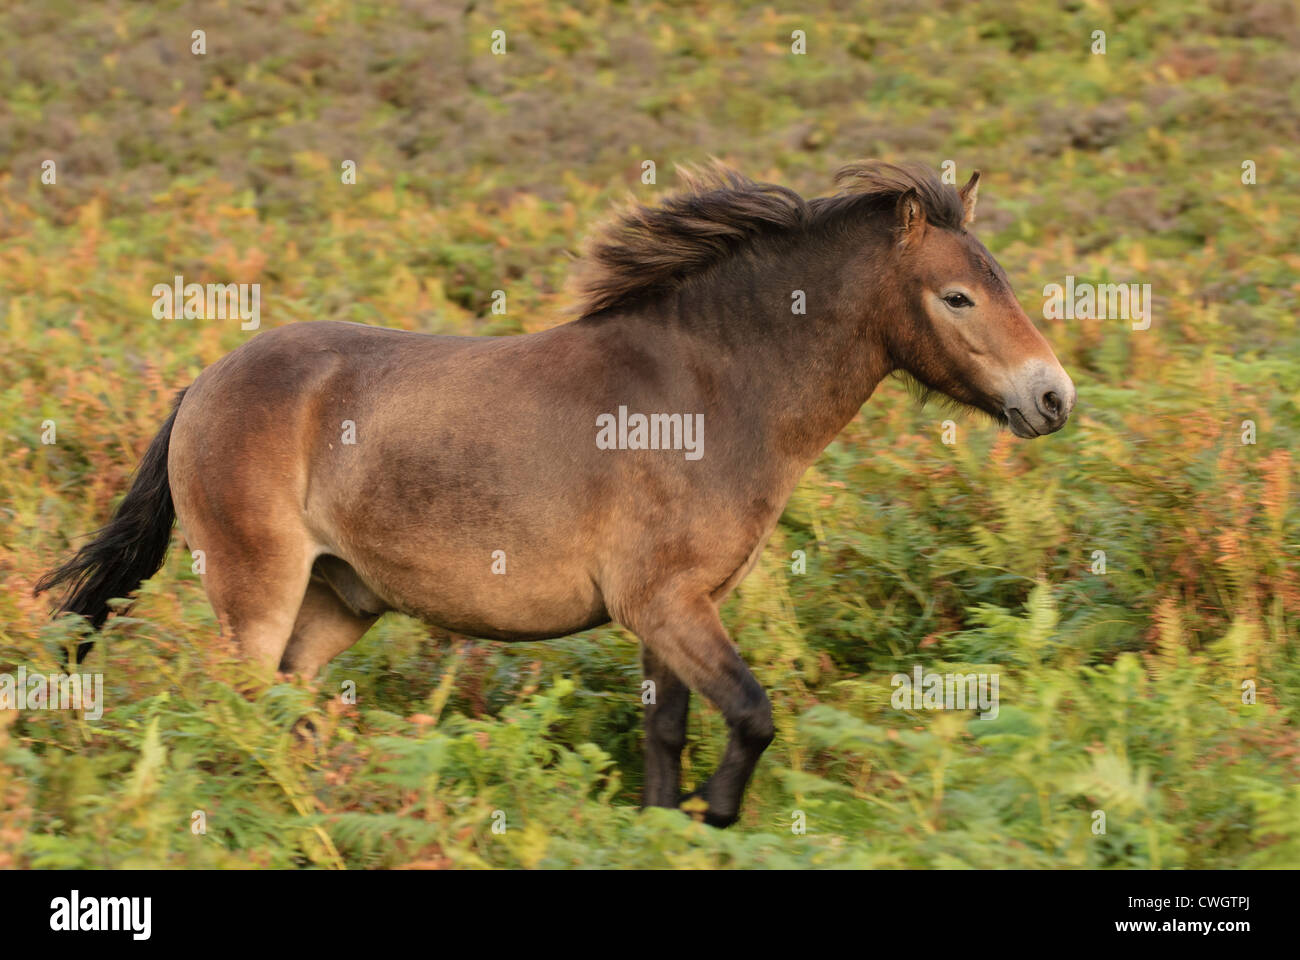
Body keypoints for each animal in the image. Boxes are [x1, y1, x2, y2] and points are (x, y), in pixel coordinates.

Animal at [36, 160, 1075, 828]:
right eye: (957, 297)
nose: (1054, 398)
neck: (707, 393)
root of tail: (203, 383)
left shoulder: (670, 612)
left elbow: (665, 734)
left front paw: (665, 829)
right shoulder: (666, 603)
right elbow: (751, 716)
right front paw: (716, 819)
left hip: (334, 604)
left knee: (284, 711)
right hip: (256, 591)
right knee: (236, 710)